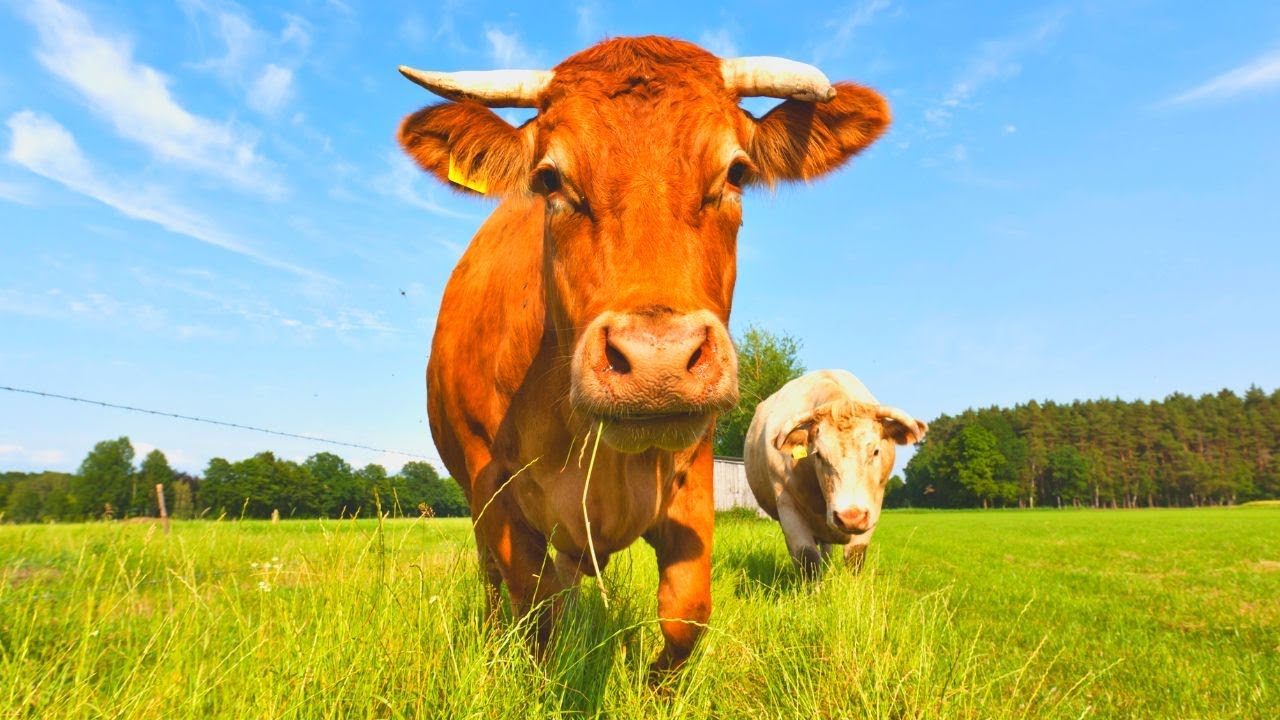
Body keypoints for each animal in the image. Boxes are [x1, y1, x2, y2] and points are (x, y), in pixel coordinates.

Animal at [396, 37, 890, 673]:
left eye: (736, 171)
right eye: (550, 179)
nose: (658, 362)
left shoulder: (693, 473)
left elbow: (685, 615)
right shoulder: (495, 492)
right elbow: (534, 613)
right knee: (497, 585)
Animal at [745, 370, 926, 578]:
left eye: (875, 451)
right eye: (819, 455)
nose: (851, 516)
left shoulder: (873, 507)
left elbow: (855, 556)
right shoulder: (787, 505)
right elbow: (807, 558)